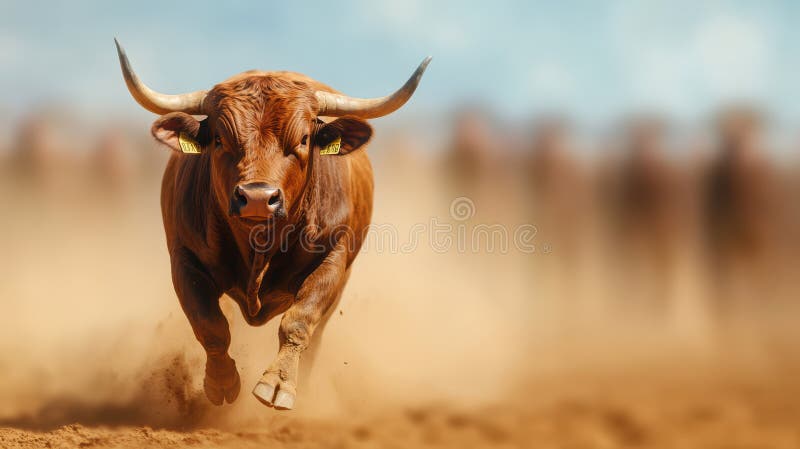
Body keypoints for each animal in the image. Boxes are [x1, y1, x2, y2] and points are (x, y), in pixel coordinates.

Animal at [114, 40, 430, 410]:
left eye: (304, 139)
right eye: (219, 139)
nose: (256, 197)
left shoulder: (333, 260)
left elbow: (299, 321)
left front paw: (278, 383)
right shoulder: (184, 257)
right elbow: (210, 324)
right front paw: (221, 382)